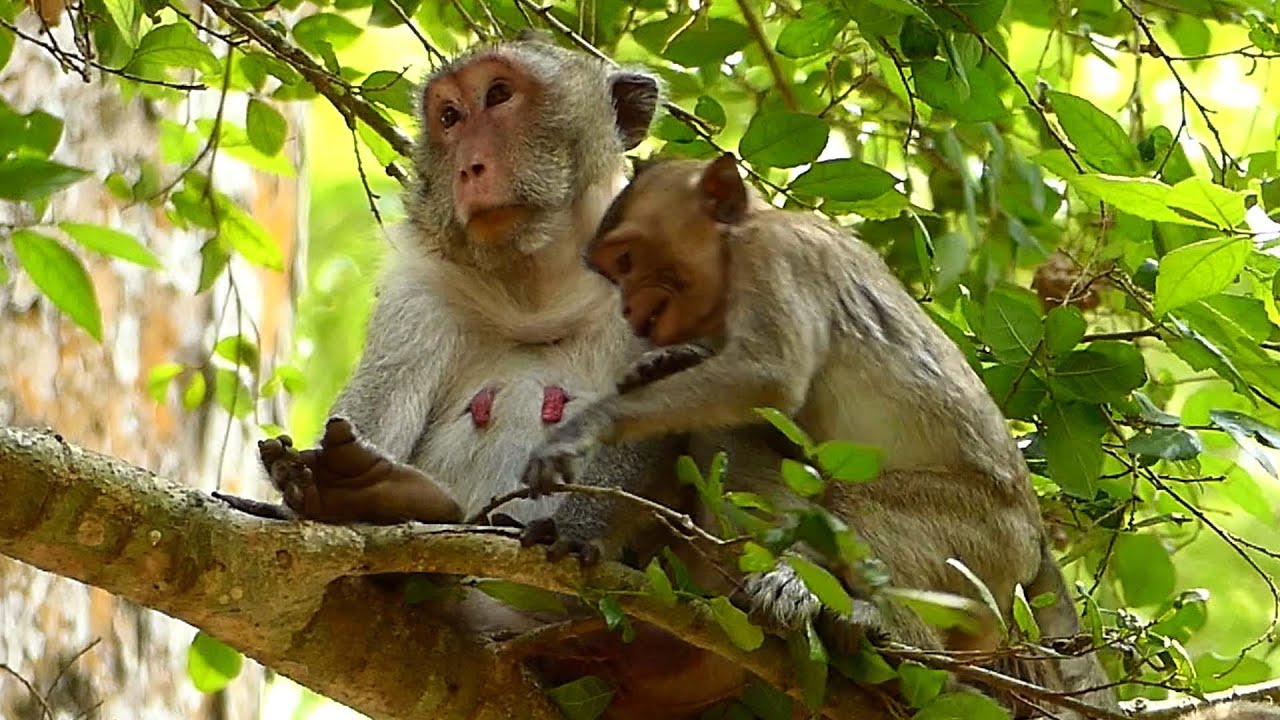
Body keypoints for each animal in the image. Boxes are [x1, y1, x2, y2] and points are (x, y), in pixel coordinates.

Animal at [519, 153, 1120, 716]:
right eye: (615, 273)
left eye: (626, 260)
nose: (625, 305)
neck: (744, 237)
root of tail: (1035, 535)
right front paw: (578, 529)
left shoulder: (776, 254)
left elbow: (769, 377)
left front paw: (589, 426)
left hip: (986, 537)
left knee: (851, 504)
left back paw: (891, 639)